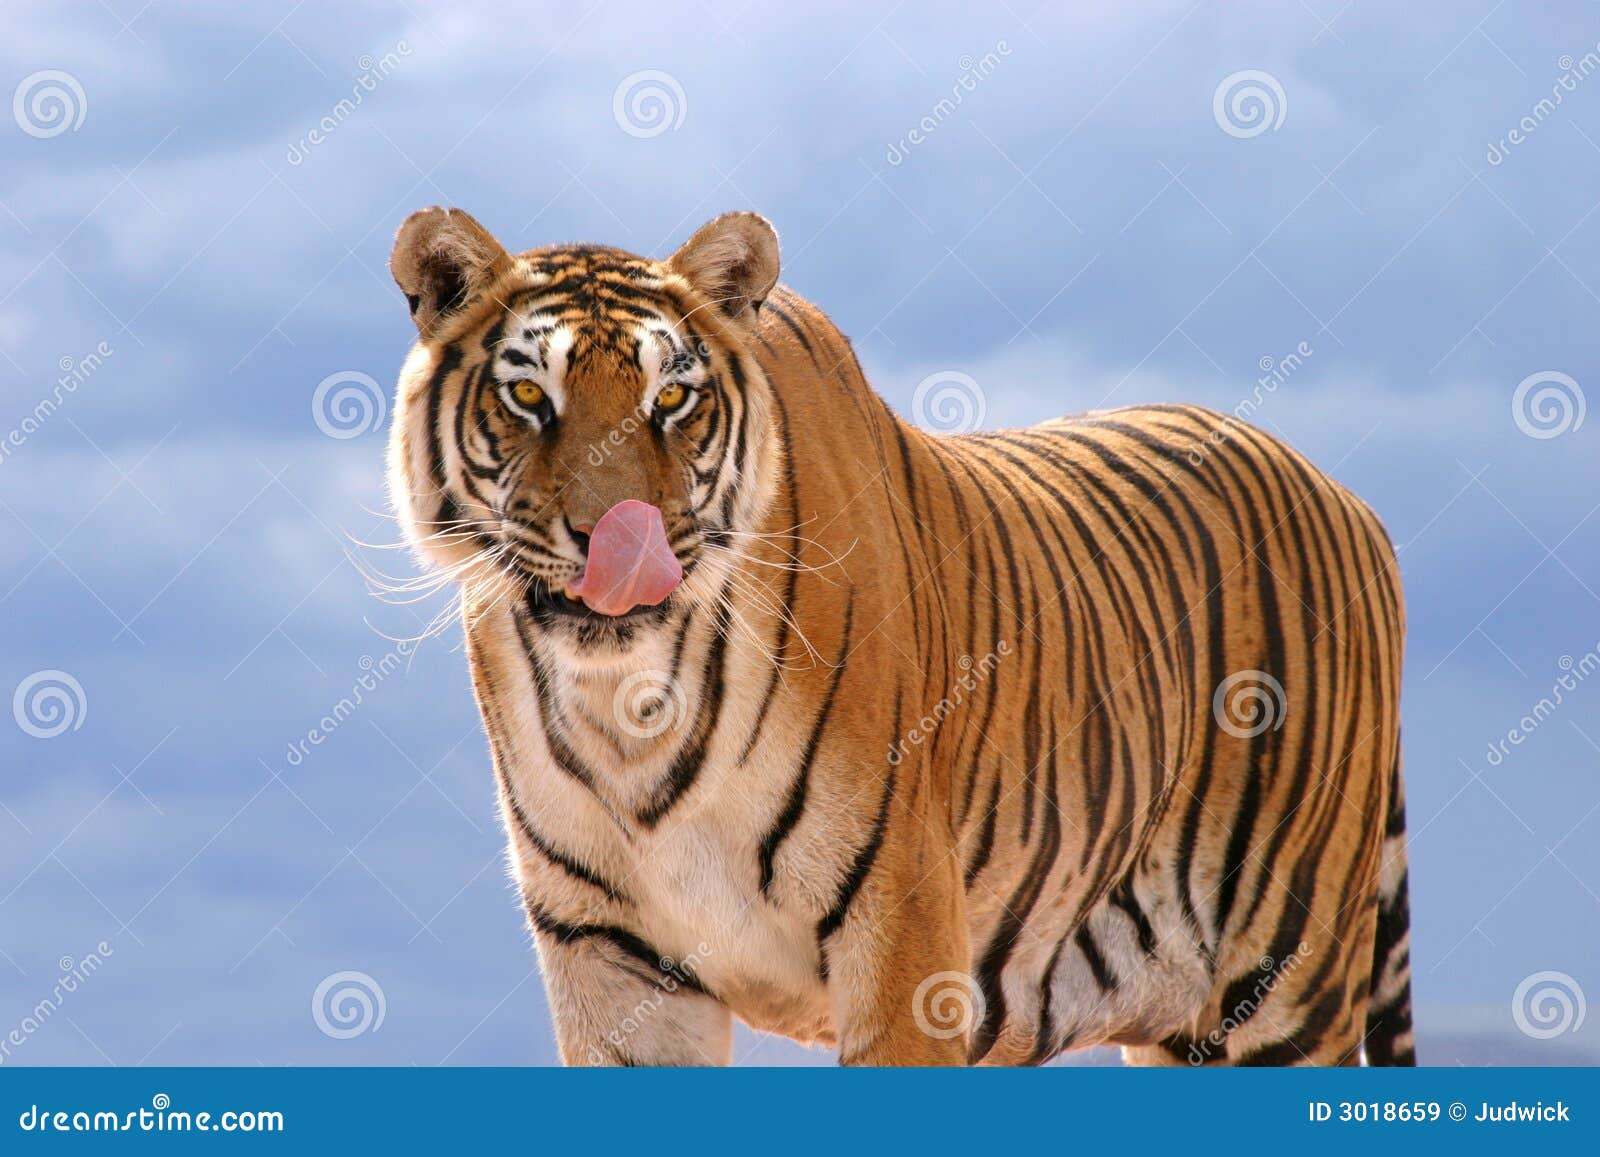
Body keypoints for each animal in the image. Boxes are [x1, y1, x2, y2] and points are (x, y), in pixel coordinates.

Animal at [385, 206, 1415, 1067]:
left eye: (671, 401)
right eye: (529, 397)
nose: (618, 545)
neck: (630, 704)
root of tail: (1354, 500)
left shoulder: (903, 925)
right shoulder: (608, 953)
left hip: (1288, 982)